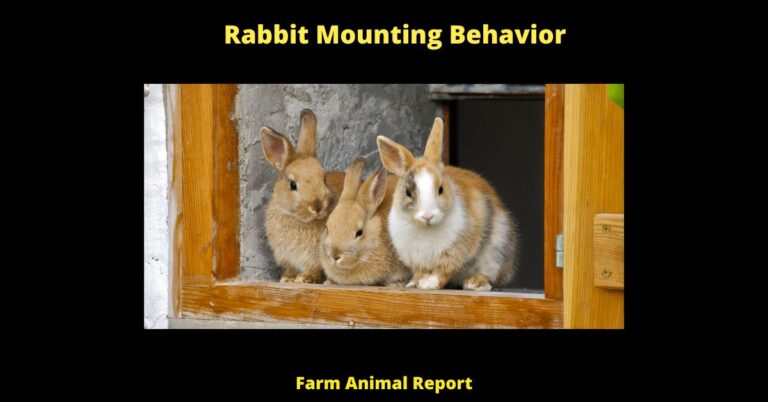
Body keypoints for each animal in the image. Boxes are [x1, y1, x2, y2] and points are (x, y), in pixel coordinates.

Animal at [260, 109, 345, 284]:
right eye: (293, 185)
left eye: (324, 179)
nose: (317, 206)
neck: (297, 219)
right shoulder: (285, 255)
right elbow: (290, 268)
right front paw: (287, 278)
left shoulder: (315, 258)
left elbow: (313, 268)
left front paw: (304, 279)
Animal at [376, 117, 518, 291]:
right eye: (408, 192)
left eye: (441, 189)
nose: (428, 216)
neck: (426, 228)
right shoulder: (415, 259)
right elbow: (420, 272)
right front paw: (414, 284)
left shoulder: (453, 254)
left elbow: (442, 272)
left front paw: (428, 285)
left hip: (496, 252)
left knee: (491, 277)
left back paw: (474, 283)